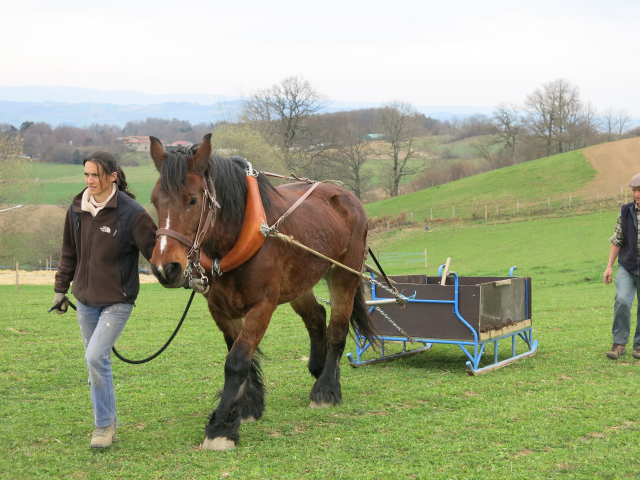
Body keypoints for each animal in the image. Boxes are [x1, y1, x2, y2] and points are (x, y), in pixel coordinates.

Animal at [148, 134, 378, 451]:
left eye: (192, 200)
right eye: (155, 201)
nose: (164, 268)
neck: (236, 236)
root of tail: (345, 195)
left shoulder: (262, 306)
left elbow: (236, 361)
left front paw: (220, 427)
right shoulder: (220, 309)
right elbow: (239, 353)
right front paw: (246, 406)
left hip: (345, 274)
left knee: (338, 328)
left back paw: (326, 389)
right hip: (299, 281)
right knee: (317, 317)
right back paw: (320, 369)